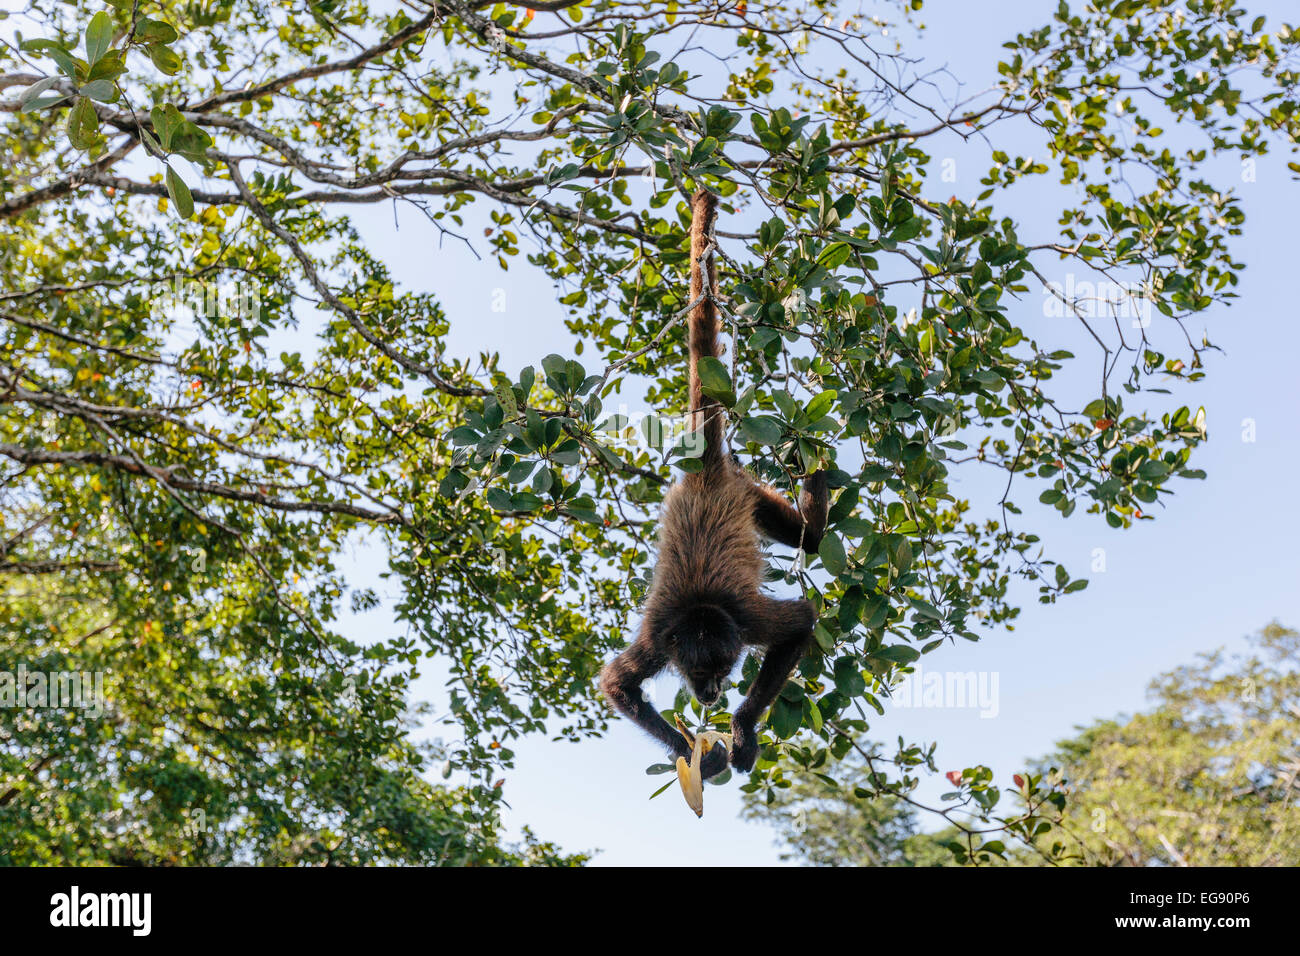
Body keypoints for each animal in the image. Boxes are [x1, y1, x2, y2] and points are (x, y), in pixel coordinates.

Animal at [599, 189, 829, 780]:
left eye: (724, 671)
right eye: (699, 674)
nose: (710, 696)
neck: (701, 611)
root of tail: (706, 473)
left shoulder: (743, 619)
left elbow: (801, 621)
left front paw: (742, 730)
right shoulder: (661, 634)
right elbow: (617, 682)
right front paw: (694, 756)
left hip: (746, 491)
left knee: (812, 540)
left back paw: (813, 472)